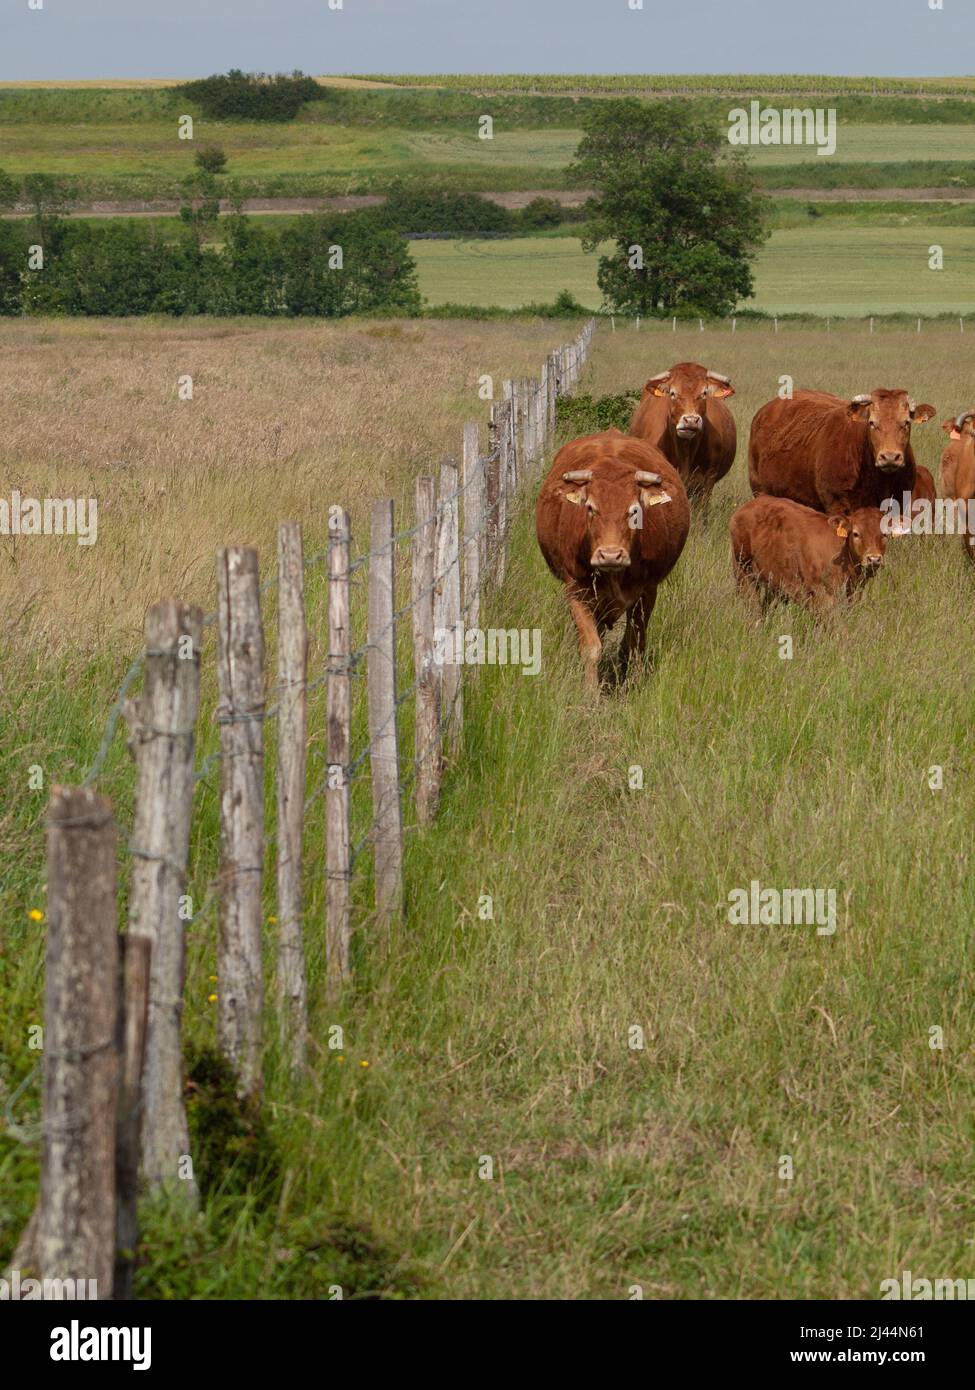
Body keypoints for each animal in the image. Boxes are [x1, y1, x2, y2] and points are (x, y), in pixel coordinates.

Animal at [535, 428, 690, 688]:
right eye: (589, 508)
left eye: (634, 510)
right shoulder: (576, 592)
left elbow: (634, 644)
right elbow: (591, 648)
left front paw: (633, 685)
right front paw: (590, 691)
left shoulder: (647, 592)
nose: (610, 555)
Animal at [730, 496, 887, 614]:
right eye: (856, 533)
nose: (874, 559)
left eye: (885, 534)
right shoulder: (820, 594)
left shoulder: (854, 591)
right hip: (743, 571)